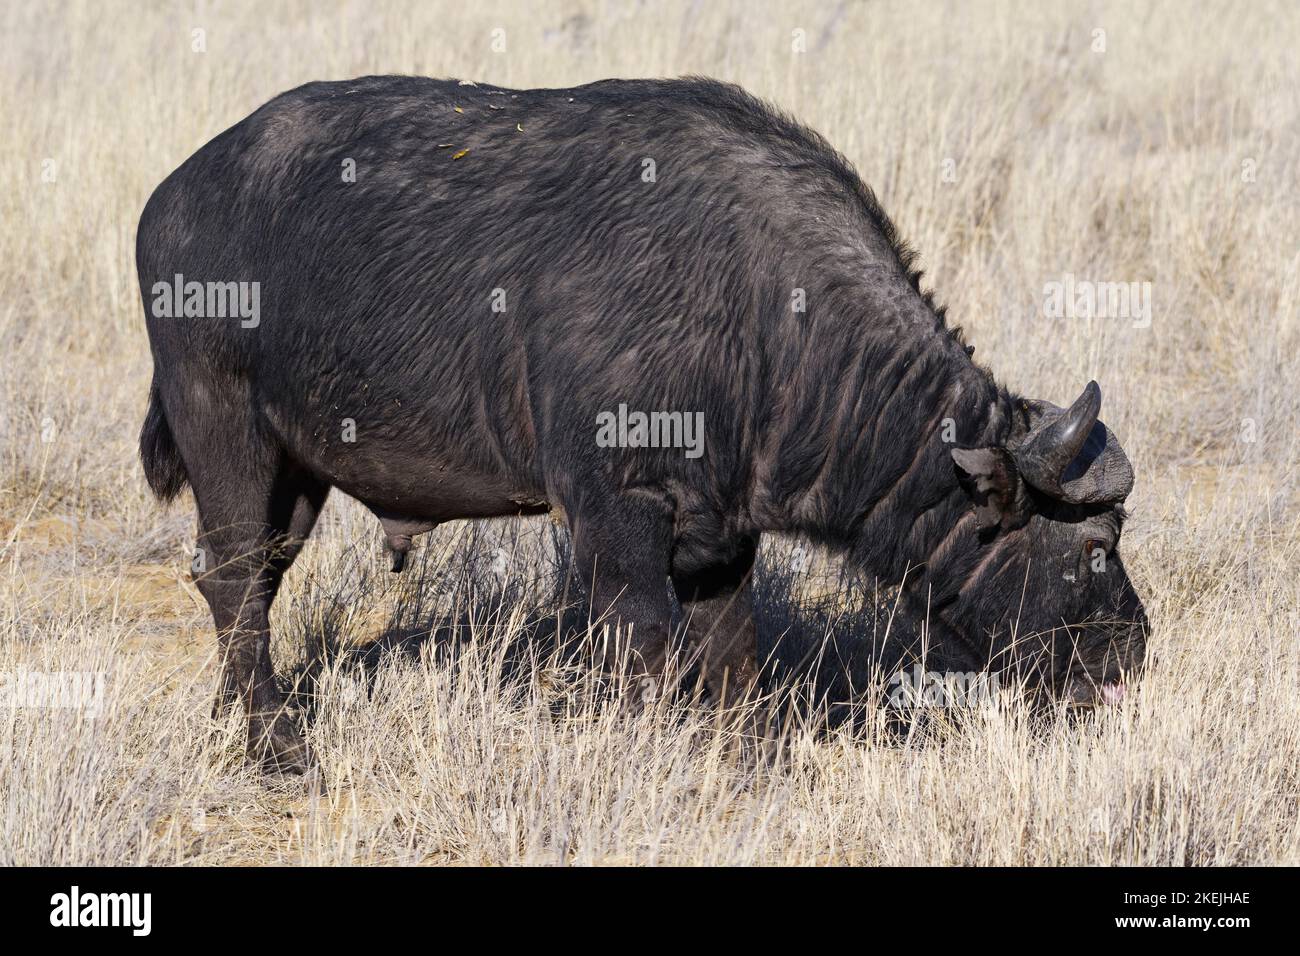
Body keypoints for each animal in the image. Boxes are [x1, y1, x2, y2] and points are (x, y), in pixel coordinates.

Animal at [137, 76, 1147, 772]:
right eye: (1095, 547)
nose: (1134, 657)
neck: (765, 319)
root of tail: (173, 195)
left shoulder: (722, 537)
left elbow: (733, 652)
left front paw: (747, 755)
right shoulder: (614, 518)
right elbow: (644, 653)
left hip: (299, 473)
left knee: (248, 587)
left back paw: (238, 719)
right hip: (222, 425)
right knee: (231, 577)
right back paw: (277, 744)